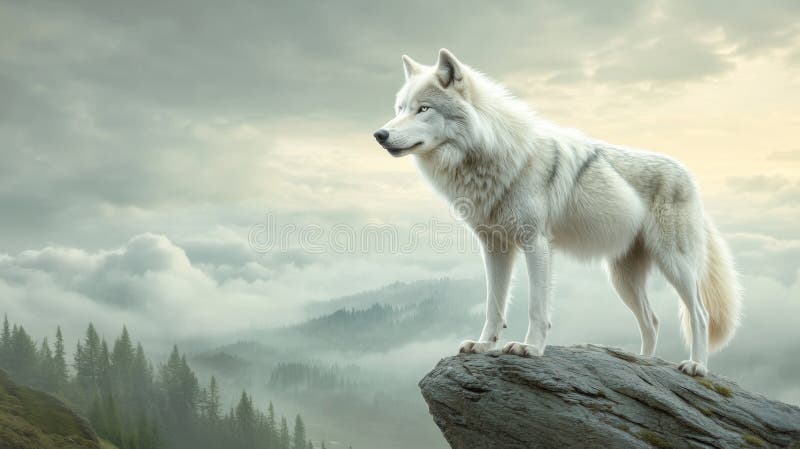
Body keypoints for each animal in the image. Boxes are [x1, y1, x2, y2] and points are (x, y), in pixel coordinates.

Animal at [374, 49, 742, 376]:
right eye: (399, 109)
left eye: (423, 109)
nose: (379, 134)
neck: (494, 156)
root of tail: (690, 177)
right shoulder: (494, 246)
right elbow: (494, 305)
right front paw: (483, 345)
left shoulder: (536, 243)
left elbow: (537, 306)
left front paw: (530, 349)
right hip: (622, 279)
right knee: (651, 321)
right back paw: (642, 363)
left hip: (674, 264)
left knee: (699, 314)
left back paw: (696, 367)